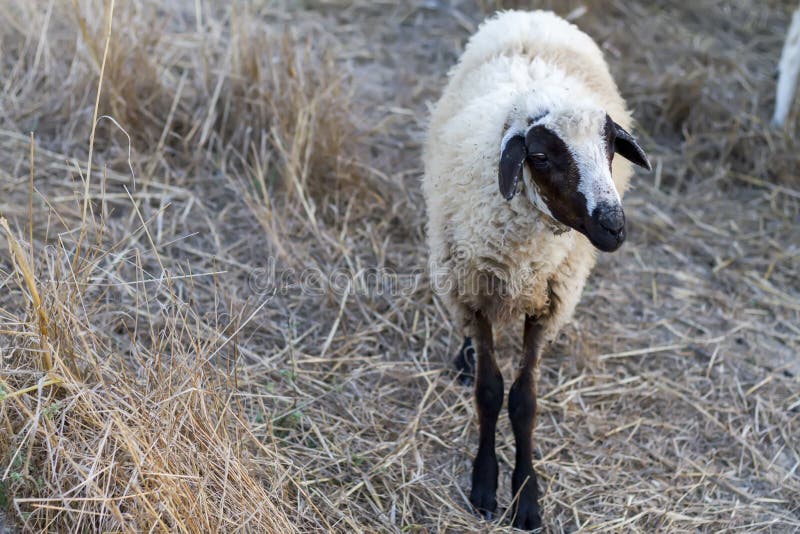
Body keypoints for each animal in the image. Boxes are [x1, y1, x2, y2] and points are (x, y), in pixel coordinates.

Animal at [422, 10, 651, 530]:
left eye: (611, 150)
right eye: (541, 156)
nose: (613, 226)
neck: (523, 260)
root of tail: (530, 14)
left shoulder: (547, 307)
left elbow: (524, 401)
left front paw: (527, 497)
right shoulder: (475, 293)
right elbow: (489, 390)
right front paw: (485, 484)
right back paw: (465, 355)